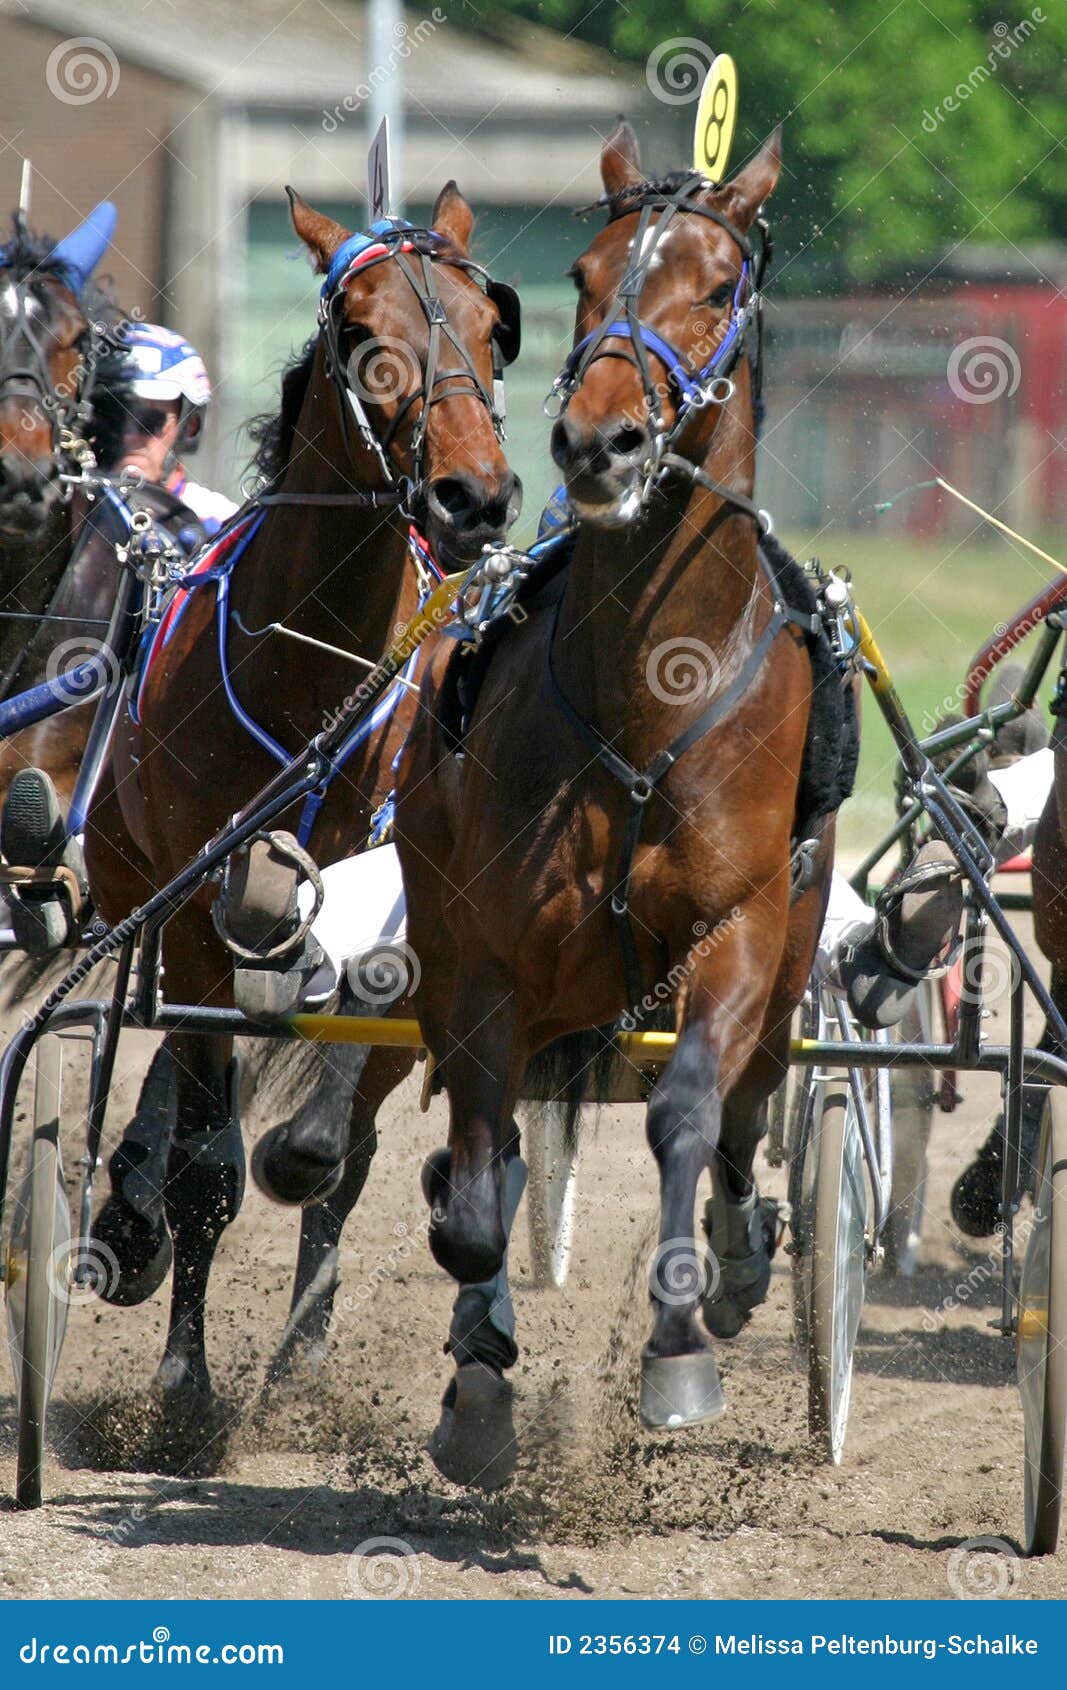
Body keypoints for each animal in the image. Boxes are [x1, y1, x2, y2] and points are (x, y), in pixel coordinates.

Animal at [81, 183, 522, 1398]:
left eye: (491, 327)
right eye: (363, 336)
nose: (473, 495)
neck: (313, 668)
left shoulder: (404, 898)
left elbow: (332, 1144)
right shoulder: (194, 909)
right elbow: (202, 1155)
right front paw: (183, 1384)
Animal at [394, 123, 847, 1486]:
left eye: (716, 282)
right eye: (583, 277)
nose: (600, 443)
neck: (650, 691)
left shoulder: (742, 924)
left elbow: (688, 1107)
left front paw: (682, 1338)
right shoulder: (487, 957)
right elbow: (473, 1189)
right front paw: (478, 1369)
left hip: (792, 951)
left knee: (747, 1105)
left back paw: (742, 1260)